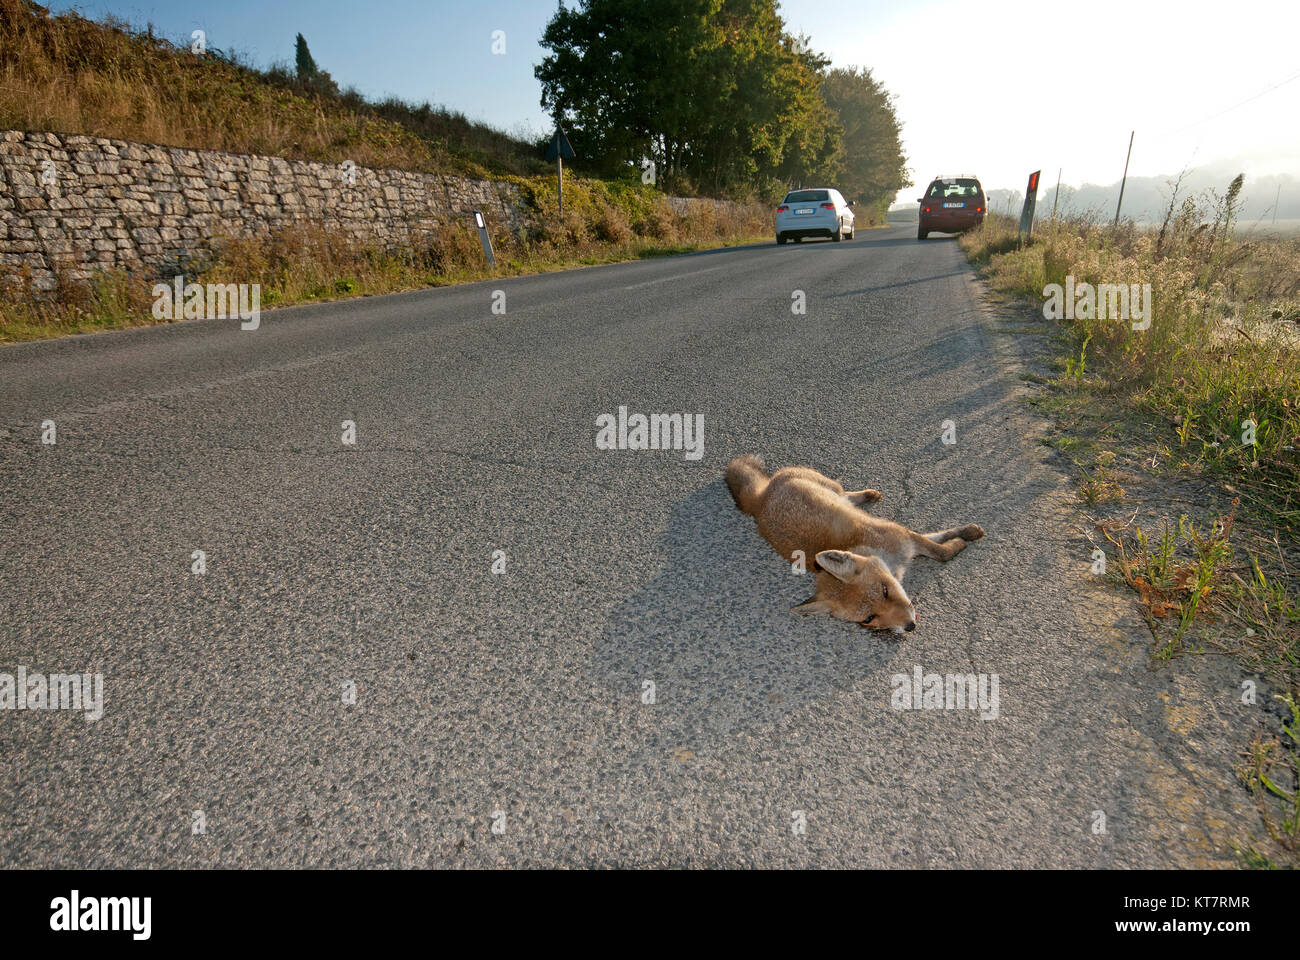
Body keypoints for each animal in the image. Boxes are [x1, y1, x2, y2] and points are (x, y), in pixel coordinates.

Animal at [725, 454, 985, 634]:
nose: (909, 626)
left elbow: (939, 549)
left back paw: (866, 495)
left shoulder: (904, 536)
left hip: (829, 485)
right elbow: (938, 543)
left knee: (844, 492)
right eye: (868, 619)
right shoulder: (906, 541)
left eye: (885, 591)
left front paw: (965, 536)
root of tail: (760, 500)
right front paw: (960, 540)